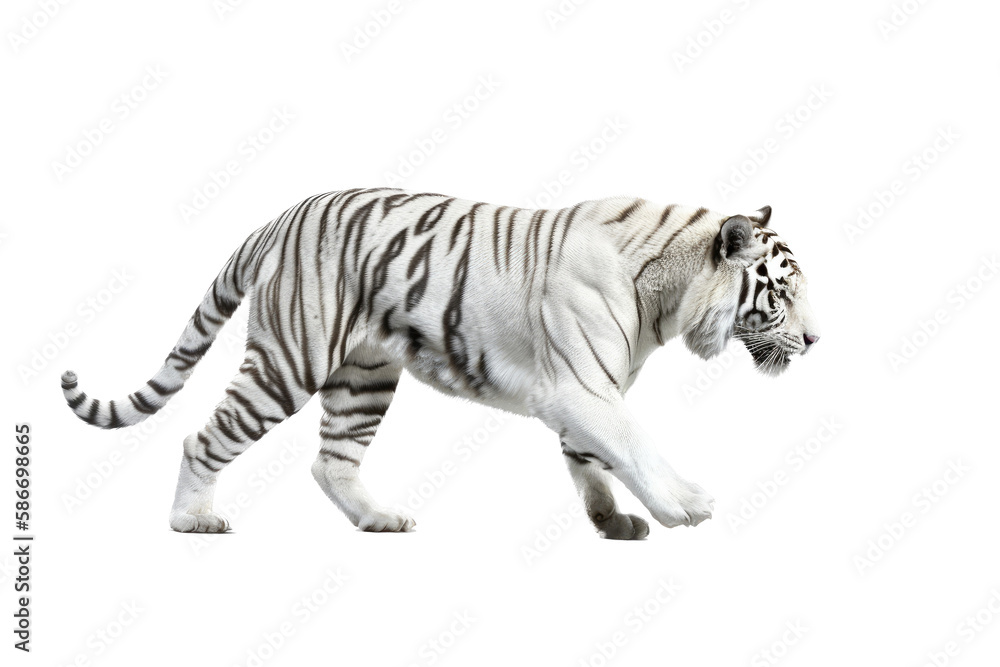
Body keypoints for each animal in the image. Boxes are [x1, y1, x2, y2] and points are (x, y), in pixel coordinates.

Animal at [61, 187, 820, 539]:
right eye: (782, 291)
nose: (816, 341)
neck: (668, 293)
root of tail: (281, 216)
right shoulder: (583, 387)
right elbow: (634, 445)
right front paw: (686, 504)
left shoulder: (585, 393)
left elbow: (590, 461)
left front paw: (612, 523)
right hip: (290, 360)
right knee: (204, 436)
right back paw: (193, 520)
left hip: (364, 376)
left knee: (332, 459)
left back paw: (378, 519)